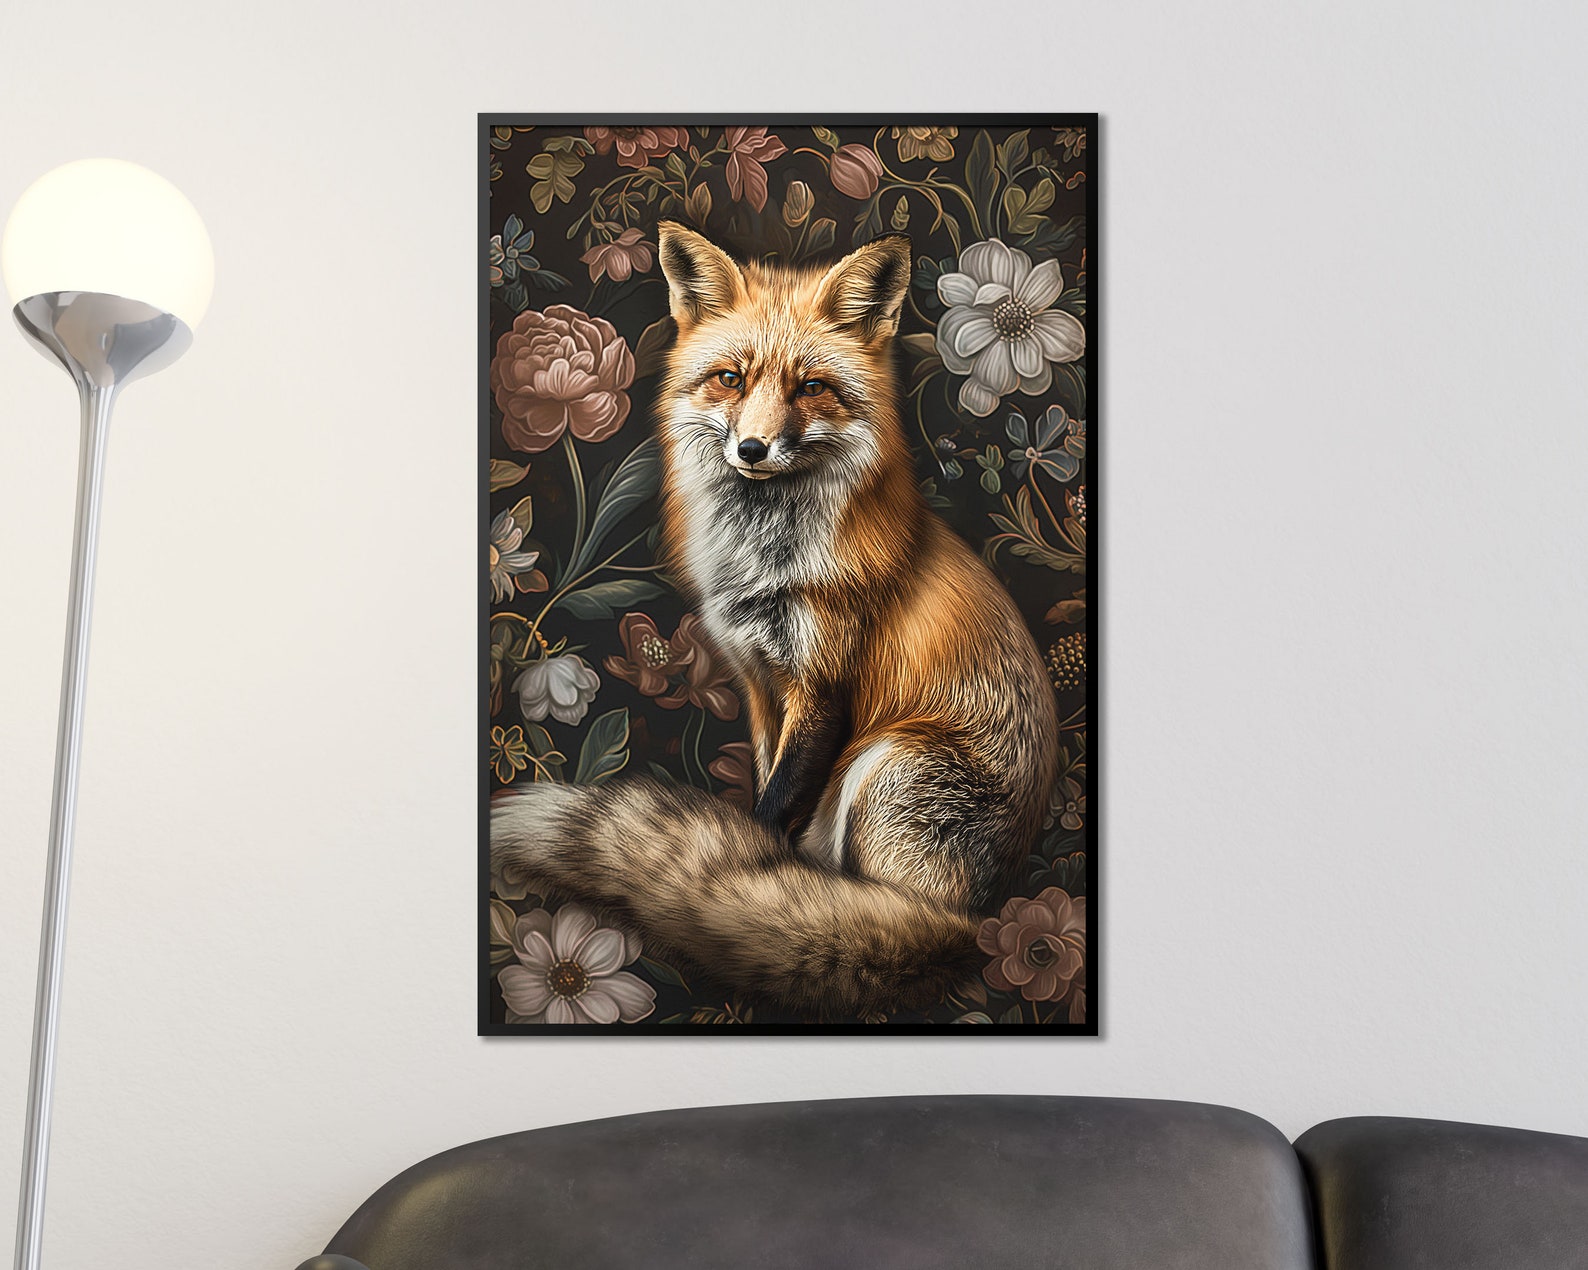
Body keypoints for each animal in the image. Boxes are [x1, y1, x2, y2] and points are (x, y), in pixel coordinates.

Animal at [491, 221, 1060, 1017]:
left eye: (812, 387)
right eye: (731, 378)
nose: (752, 449)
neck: (767, 566)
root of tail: (970, 920)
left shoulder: (824, 691)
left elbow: (770, 810)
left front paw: (735, 882)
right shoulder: (760, 683)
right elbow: (766, 791)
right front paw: (752, 872)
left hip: (890, 759)